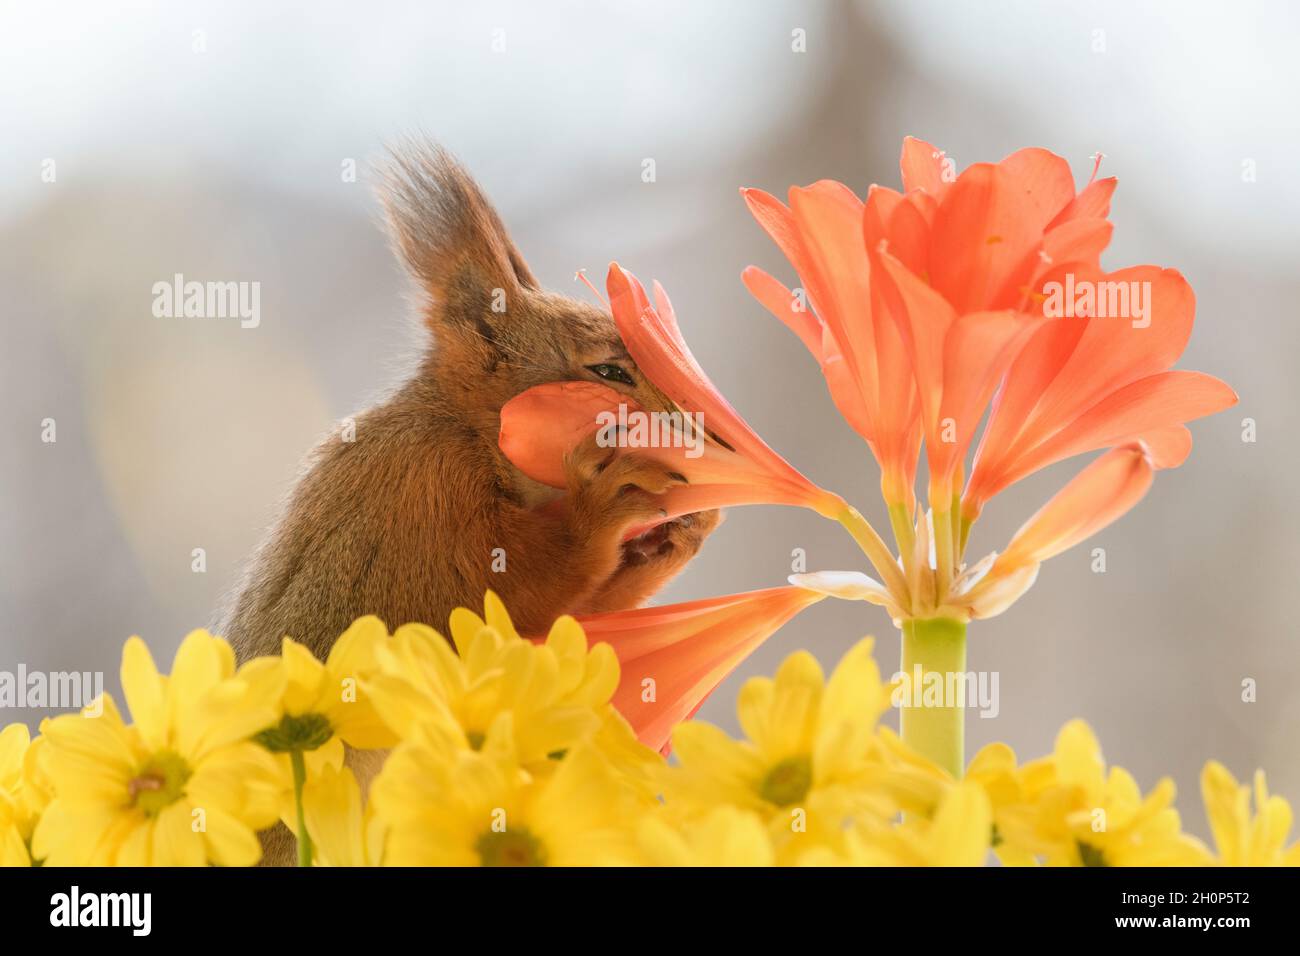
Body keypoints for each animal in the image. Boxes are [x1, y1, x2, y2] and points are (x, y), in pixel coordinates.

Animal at [221, 141, 720, 673]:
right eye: (609, 371)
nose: (703, 435)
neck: (468, 430)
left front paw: (677, 536)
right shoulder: (422, 486)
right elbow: (502, 588)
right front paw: (600, 509)